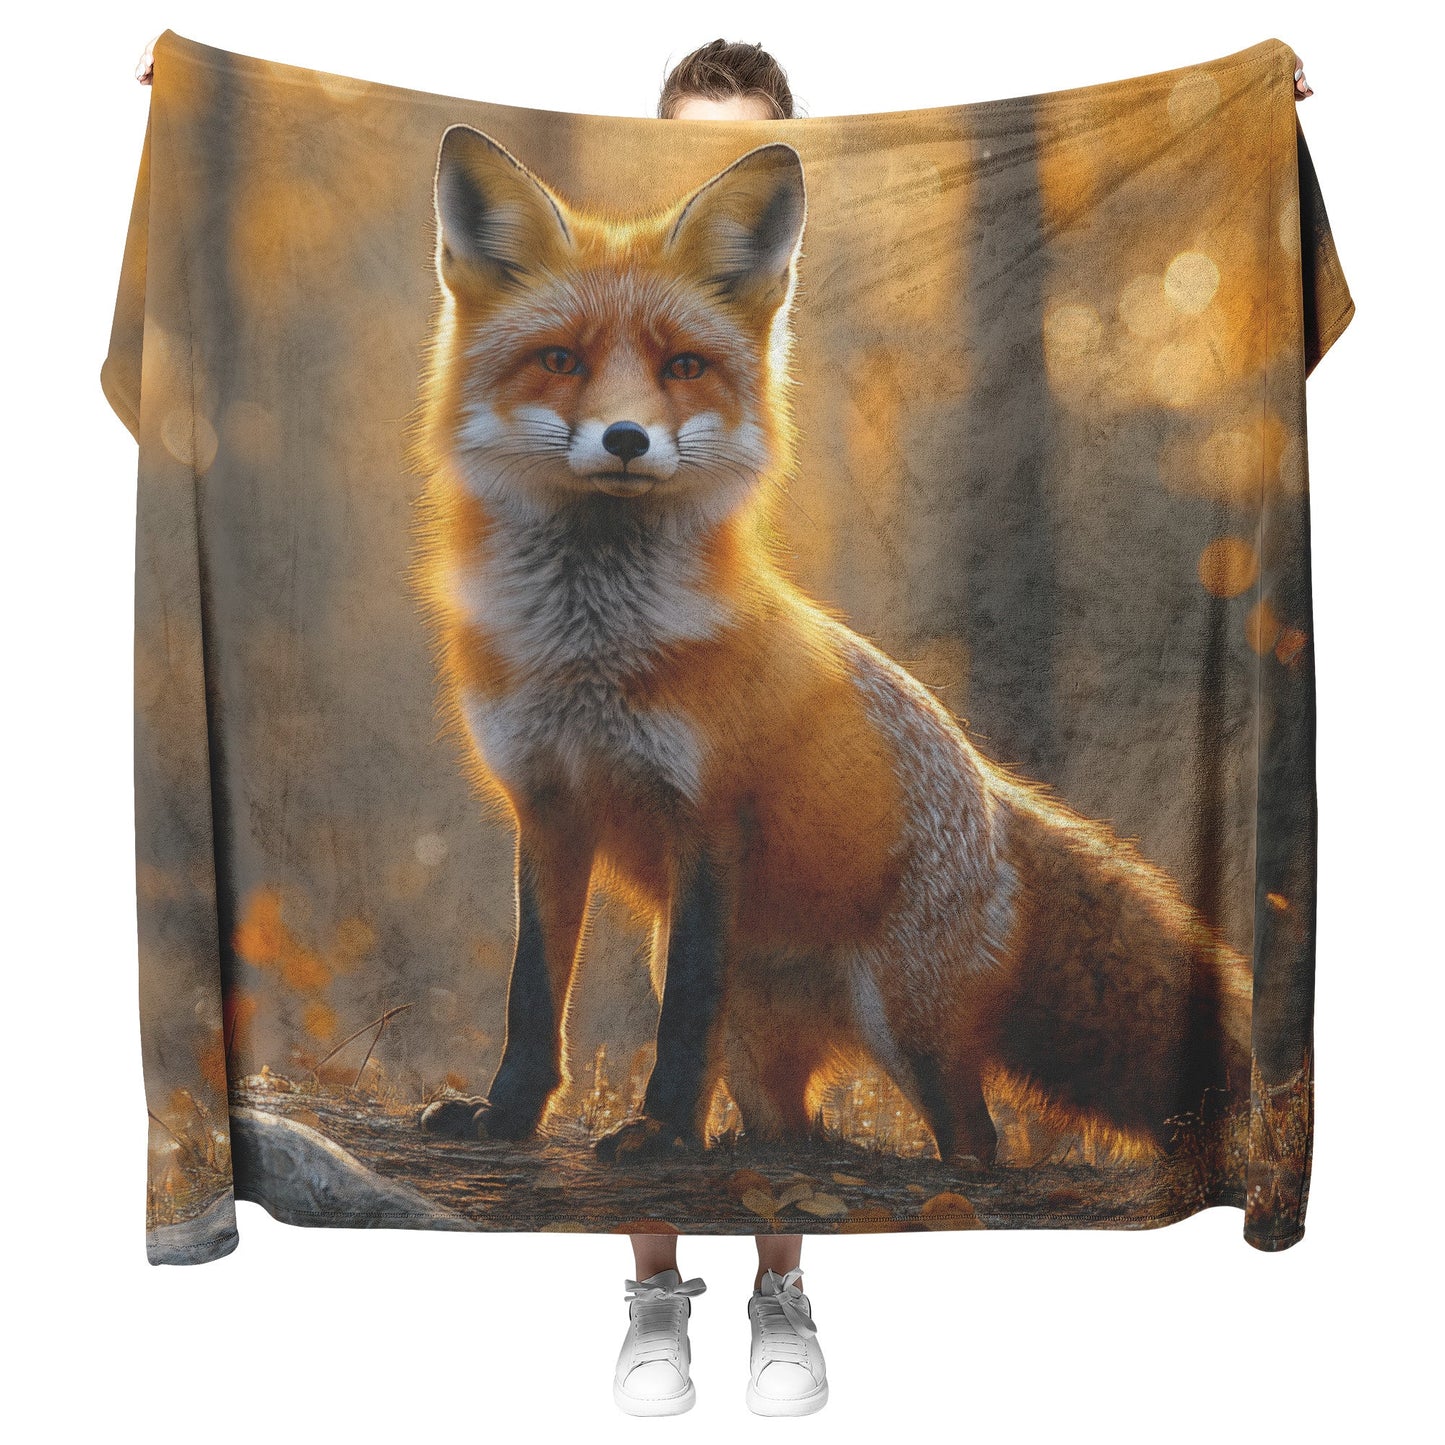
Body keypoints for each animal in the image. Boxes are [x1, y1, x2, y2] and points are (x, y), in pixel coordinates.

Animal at [409, 124, 1254, 1167]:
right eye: (559, 359)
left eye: (683, 366)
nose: (626, 437)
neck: (589, 647)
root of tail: (993, 794)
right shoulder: (550, 806)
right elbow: (533, 992)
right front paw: (510, 1116)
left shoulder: (710, 816)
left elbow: (683, 1009)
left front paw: (658, 1131)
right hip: (754, 1035)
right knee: (793, 1124)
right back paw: (748, 1153)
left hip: (907, 1026)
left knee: (976, 1143)